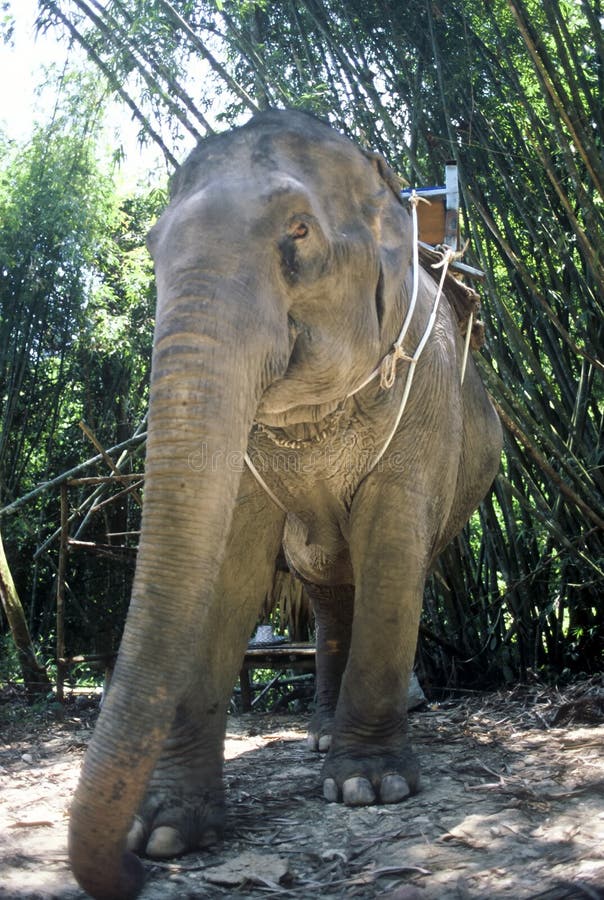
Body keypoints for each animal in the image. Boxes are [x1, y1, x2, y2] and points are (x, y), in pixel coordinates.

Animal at [68, 109, 502, 899]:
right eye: (152, 247)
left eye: (298, 230)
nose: (129, 869)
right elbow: (229, 565)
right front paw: (166, 829)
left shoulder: (423, 398)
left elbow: (393, 546)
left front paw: (368, 789)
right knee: (330, 589)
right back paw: (321, 732)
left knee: (389, 572)